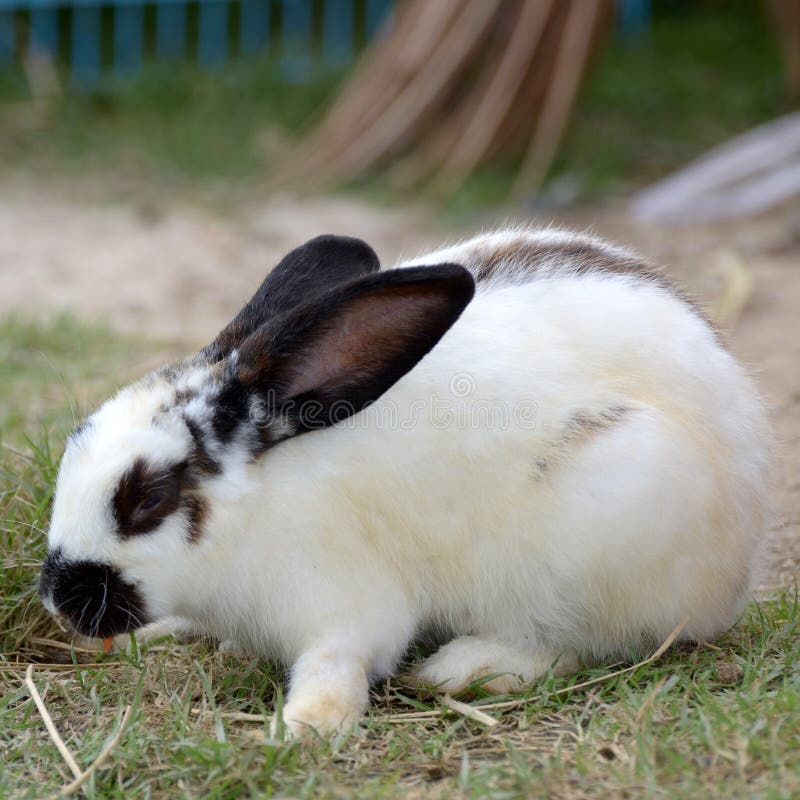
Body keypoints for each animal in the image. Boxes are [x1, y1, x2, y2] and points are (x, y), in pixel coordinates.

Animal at [39, 228, 770, 738]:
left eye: (147, 499)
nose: (56, 599)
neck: (258, 506)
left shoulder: (347, 607)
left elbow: (339, 665)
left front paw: (304, 728)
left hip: (599, 532)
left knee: (580, 646)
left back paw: (463, 668)